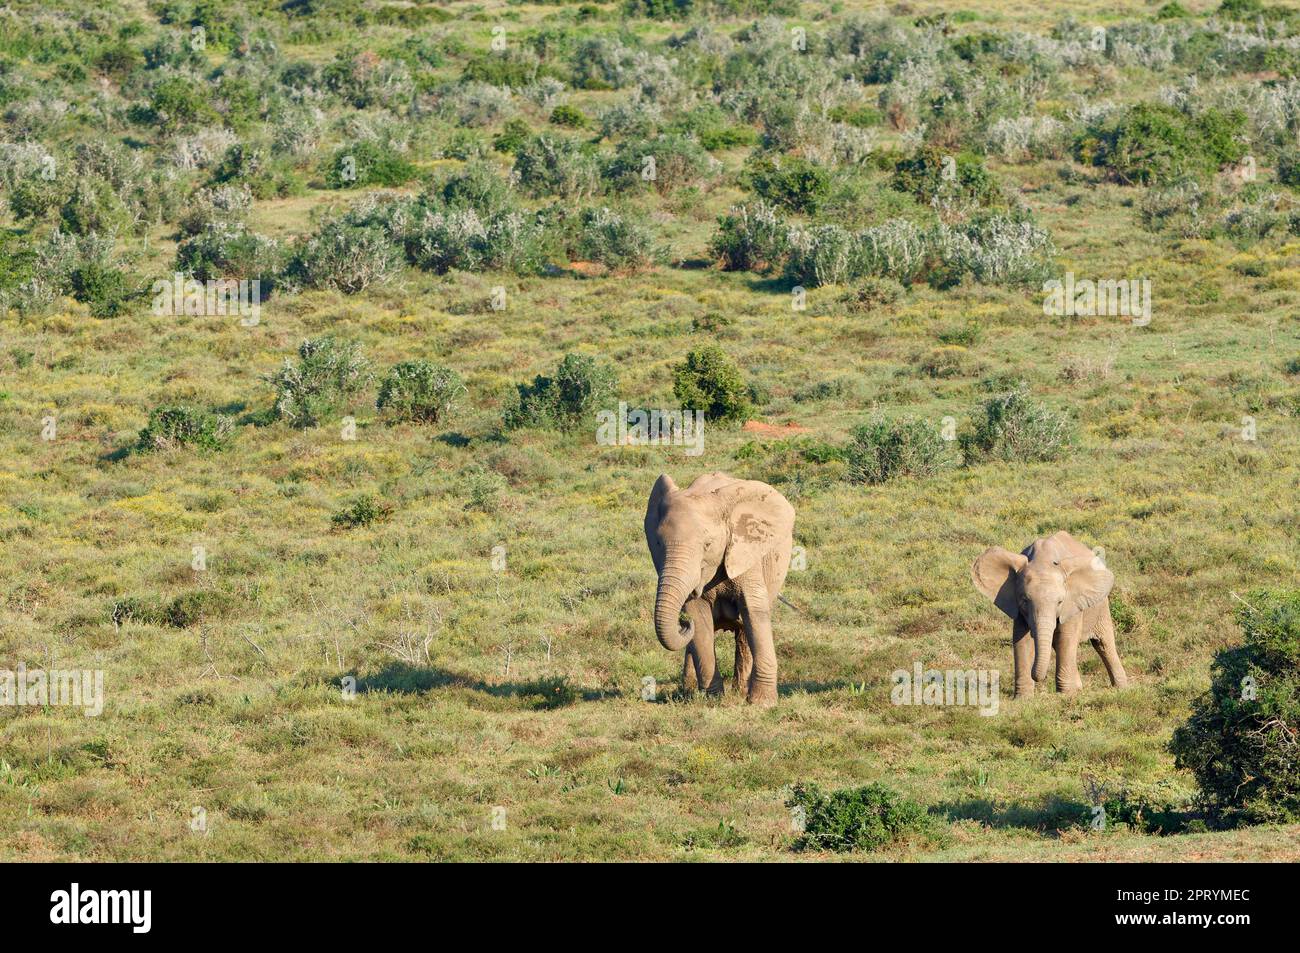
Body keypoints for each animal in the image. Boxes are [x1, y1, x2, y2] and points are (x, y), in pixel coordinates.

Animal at [644, 472, 795, 707]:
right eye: (659, 543)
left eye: (707, 544)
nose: (683, 623)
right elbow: (698, 618)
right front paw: (713, 700)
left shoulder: (745, 553)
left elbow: (754, 611)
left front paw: (762, 704)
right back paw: (688, 692)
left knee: (744, 633)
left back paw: (740, 692)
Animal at [971, 531, 1128, 697]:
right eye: (1025, 601)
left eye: (1060, 602)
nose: (1040, 677)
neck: (1043, 559)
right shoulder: (1017, 607)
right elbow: (1021, 640)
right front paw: (1023, 698)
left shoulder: (1071, 603)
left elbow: (1066, 637)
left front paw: (1067, 694)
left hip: (1101, 605)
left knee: (1103, 643)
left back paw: (1121, 688)